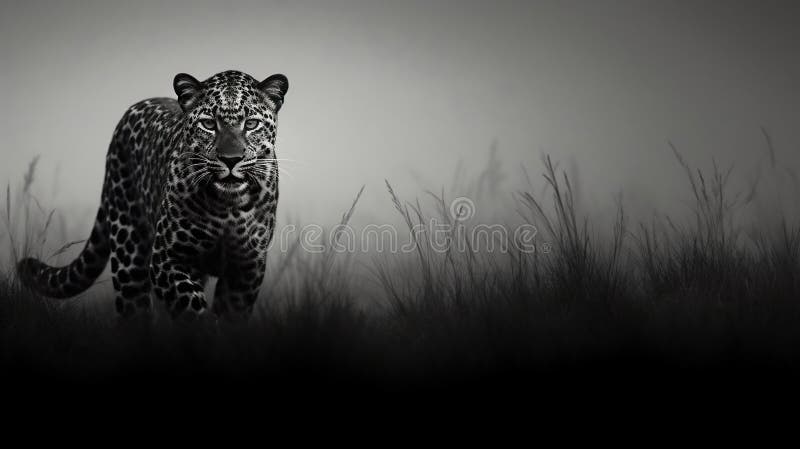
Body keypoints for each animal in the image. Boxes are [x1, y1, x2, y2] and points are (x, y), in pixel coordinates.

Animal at [17, 70, 288, 321]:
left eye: (251, 124)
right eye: (209, 124)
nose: (231, 159)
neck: (227, 206)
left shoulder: (246, 270)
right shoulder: (165, 260)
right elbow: (192, 306)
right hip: (128, 254)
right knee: (134, 312)